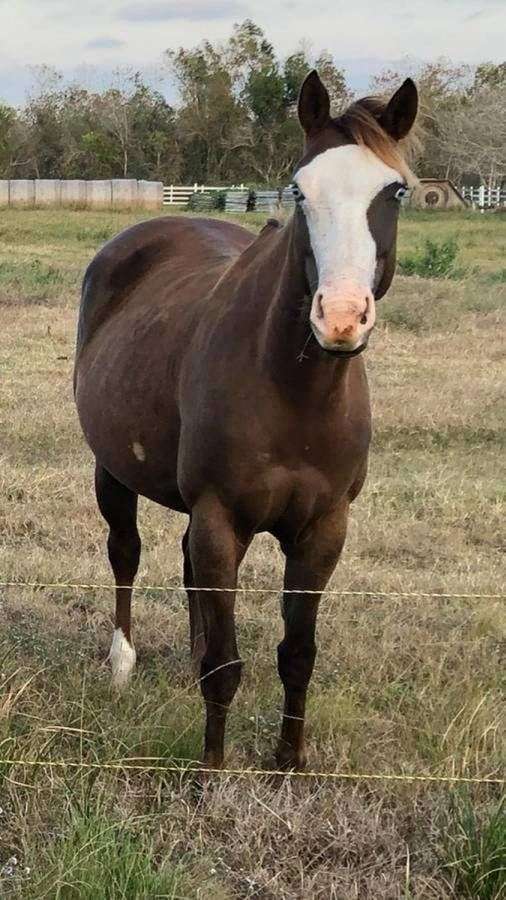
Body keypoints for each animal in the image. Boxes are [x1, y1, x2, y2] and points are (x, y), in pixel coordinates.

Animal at [74, 70, 418, 770]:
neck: (295, 396)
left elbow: (297, 654)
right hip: (112, 472)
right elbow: (226, 664)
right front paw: (210, 772)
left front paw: (288, 763)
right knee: (126, 555)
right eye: (300, 189)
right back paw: (121, 663)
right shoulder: (220, 518)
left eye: (394, 191)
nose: (342, 317)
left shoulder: (323, 530)